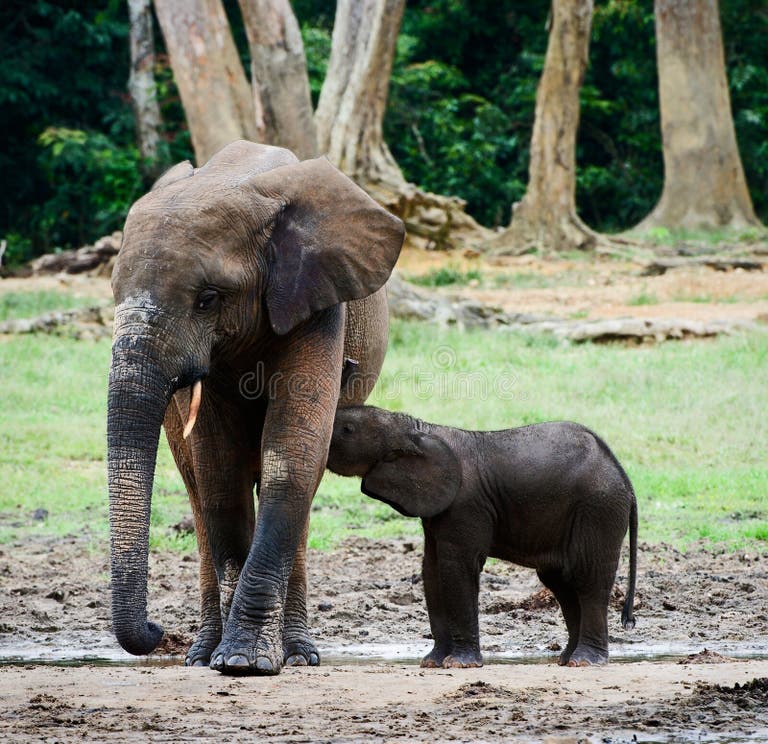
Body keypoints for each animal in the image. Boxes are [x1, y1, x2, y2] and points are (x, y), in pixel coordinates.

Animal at [108, 141, 405, 675]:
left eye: (208, 299)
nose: (156, 631)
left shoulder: (318, 299)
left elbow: (292, 457)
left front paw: (245, 661)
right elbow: (219, 471)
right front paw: (228, 658)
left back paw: (299, 654)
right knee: (198, 490)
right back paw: (201, 653)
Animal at [326, 405, 638, 669]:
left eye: (347, 429)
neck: (418, 428)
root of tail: (624, 477)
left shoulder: (466, 504)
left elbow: (458, 567)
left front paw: (458, 664)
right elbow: (432, 571)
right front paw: (432, 663)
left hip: (599, 508)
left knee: (587, 578)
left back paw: (584, 661)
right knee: (560, 581)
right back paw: (565, 659)